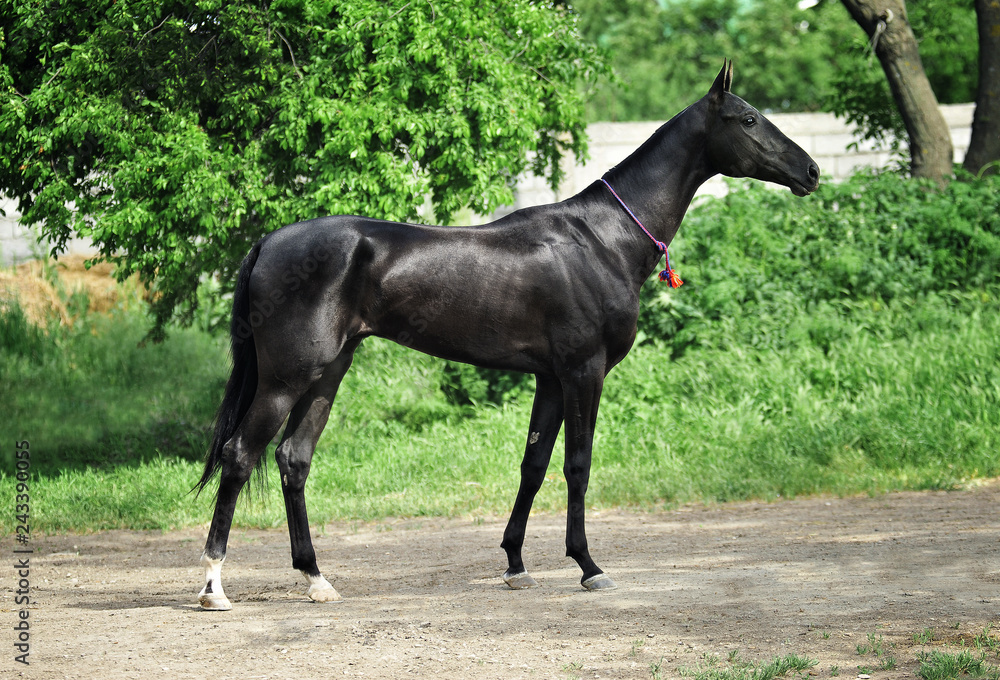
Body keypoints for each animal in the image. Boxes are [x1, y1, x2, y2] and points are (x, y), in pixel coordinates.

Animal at [194, 61, 819, 610]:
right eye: (748, 119)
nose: (811, 172)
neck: (603, 239)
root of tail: (269, 241)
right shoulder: (583, 371)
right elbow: (577, 465)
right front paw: (588, 566)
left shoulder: (549, 378)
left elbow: (533, 465)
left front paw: (516, 564)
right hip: (286, 377)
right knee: (240, 455)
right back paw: (214, 587)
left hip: (328, 373)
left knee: (293, 459)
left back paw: (316, 579)